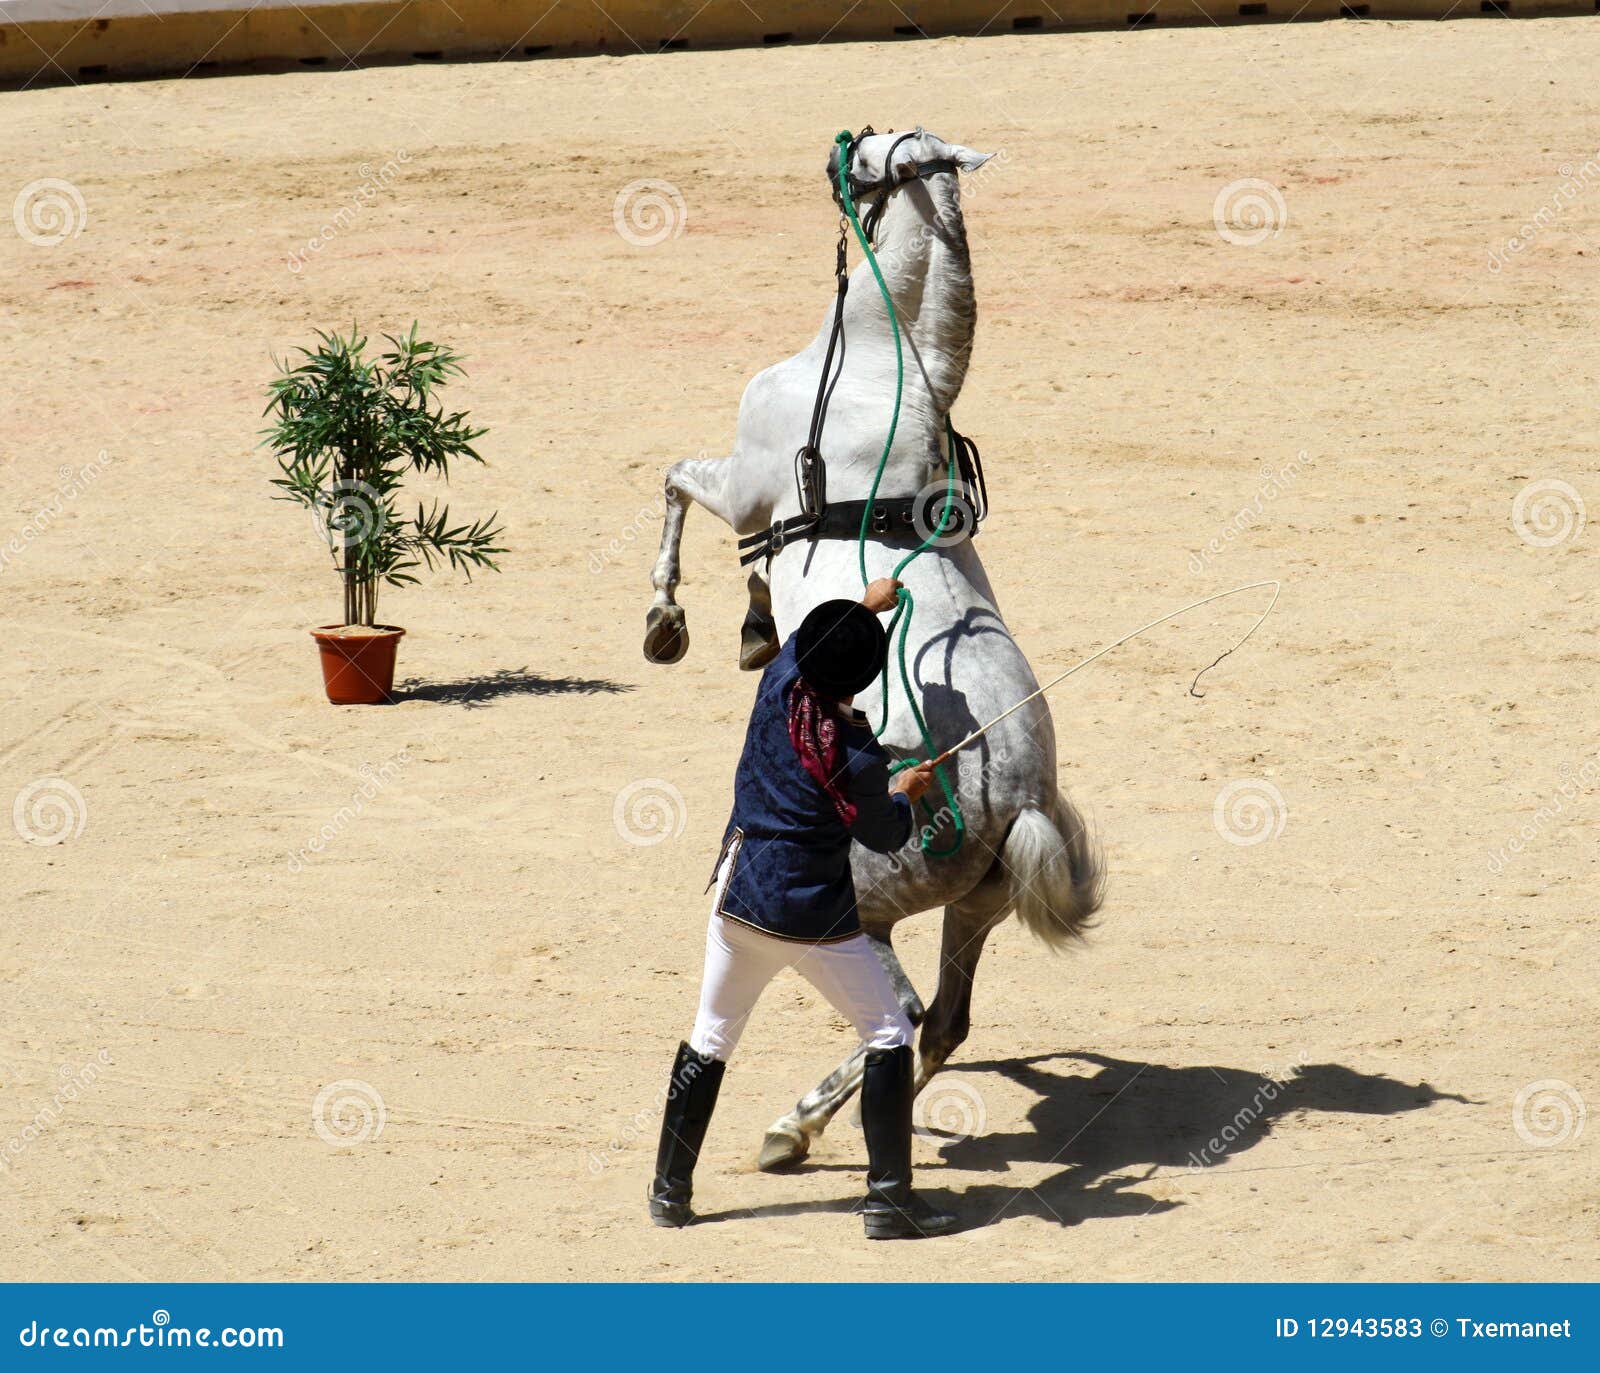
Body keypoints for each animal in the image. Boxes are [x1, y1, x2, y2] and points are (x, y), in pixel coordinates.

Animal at [643, 128, 1103, 1170]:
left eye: (881, 146)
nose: (833, 153)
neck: (878, 369)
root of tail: (1015, 796)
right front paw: (755, 632)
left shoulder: (739, 490)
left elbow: (674, 484)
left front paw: (669, 622)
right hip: (973, 909)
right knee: (943, 1023)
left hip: (865, 904)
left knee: (900, 1008)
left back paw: (792, 1126)